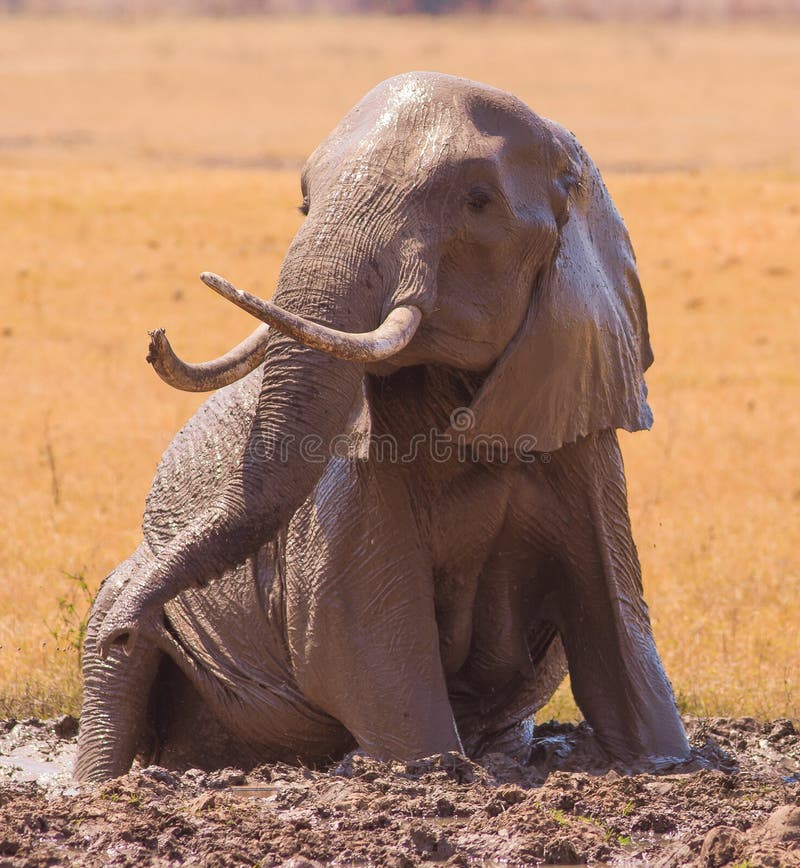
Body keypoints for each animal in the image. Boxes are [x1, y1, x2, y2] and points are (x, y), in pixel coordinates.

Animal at [75, 71, 690, 782]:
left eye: (477, 201)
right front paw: (434, 772)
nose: (156, 337)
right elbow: (358, 641)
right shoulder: (352, 474)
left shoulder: (583, 431)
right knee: (110, 668)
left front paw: (670, 764)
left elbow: (620, 632)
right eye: (304, 201)